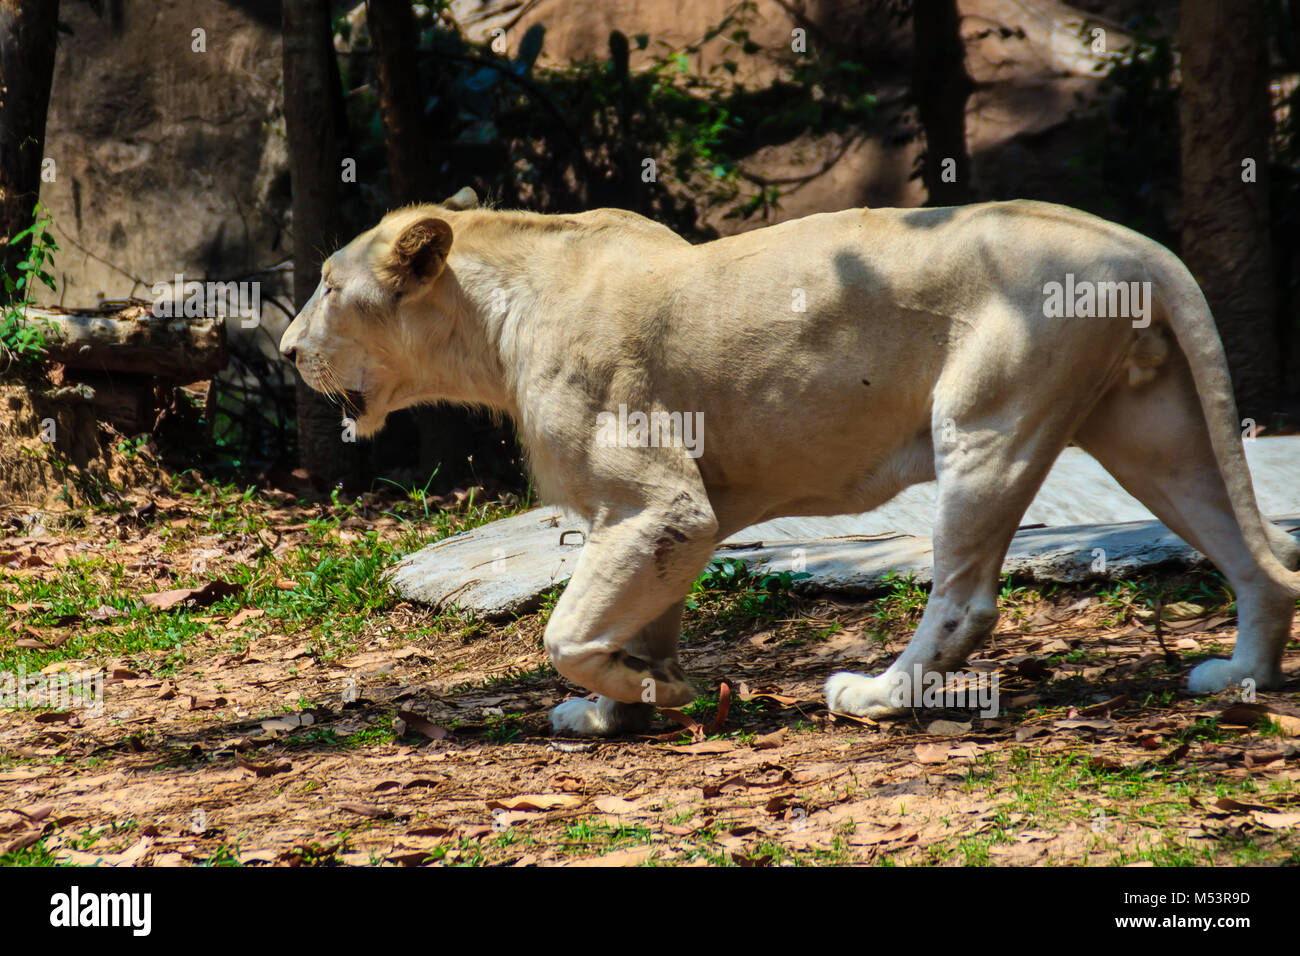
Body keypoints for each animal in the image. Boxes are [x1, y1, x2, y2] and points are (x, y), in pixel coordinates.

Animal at [279, 188, 1300, 736]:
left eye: (327, 286)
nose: (287, 351)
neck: (491, 321)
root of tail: (1130, 240)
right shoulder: (653, 519)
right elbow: (635, 622)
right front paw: (625, 710)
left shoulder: (660, 504)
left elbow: (566, 635)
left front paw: (660, 692)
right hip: (1152, 434)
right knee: (1266, 562)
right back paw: (1238, 679)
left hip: (985, 417)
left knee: (964, 599)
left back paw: (877, 697)